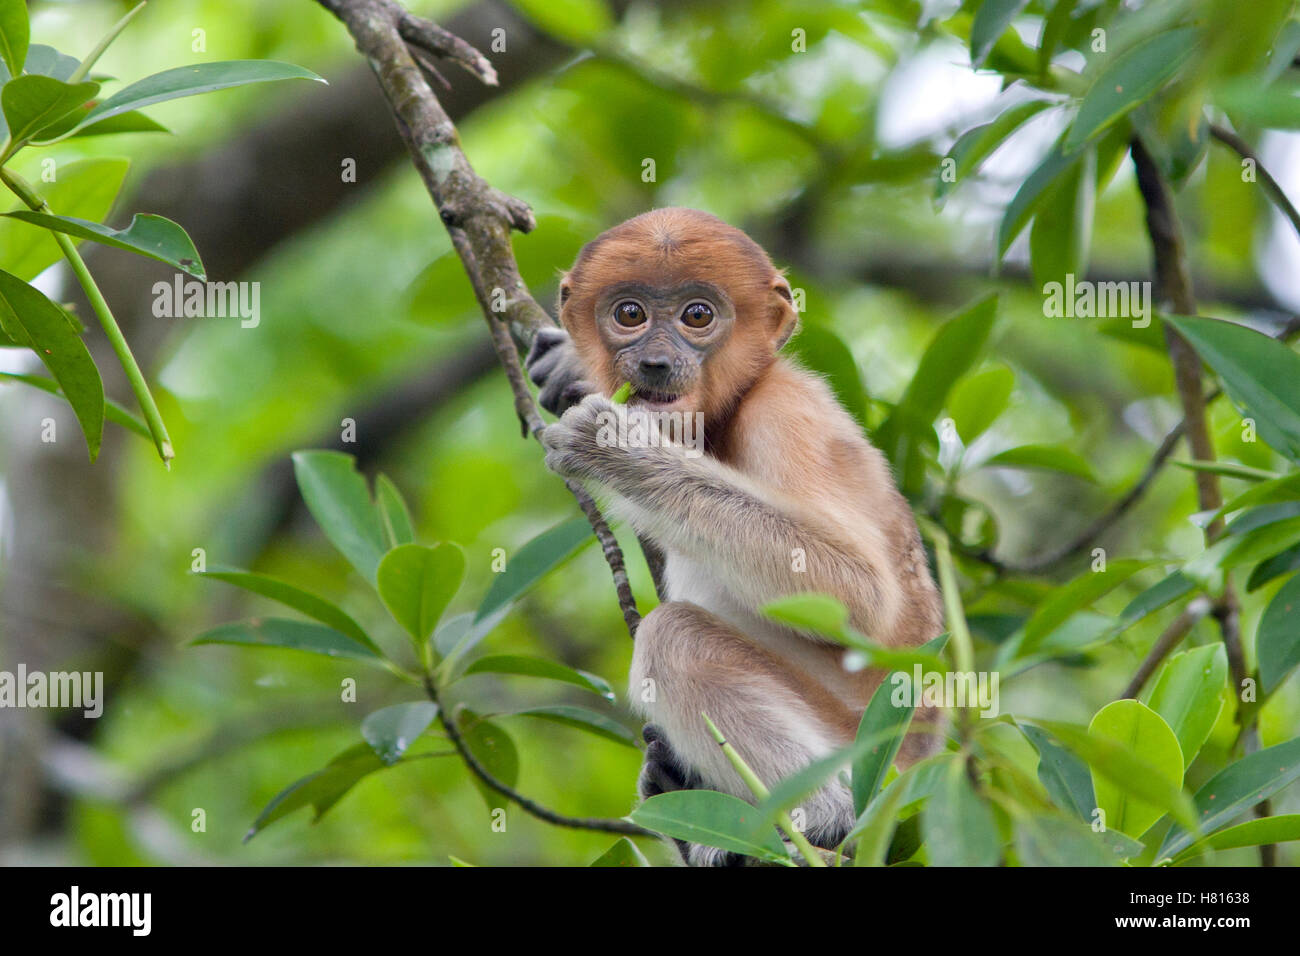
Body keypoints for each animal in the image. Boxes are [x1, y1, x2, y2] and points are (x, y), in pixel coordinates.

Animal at [526, 208, 945, 865]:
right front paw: (566, 363)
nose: (654, 364)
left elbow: (859, 594)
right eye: (629, 314)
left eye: (697, 315)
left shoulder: (786, 412)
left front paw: (612, 445)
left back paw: (825, 818)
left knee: (675, 635)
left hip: (870, 751)